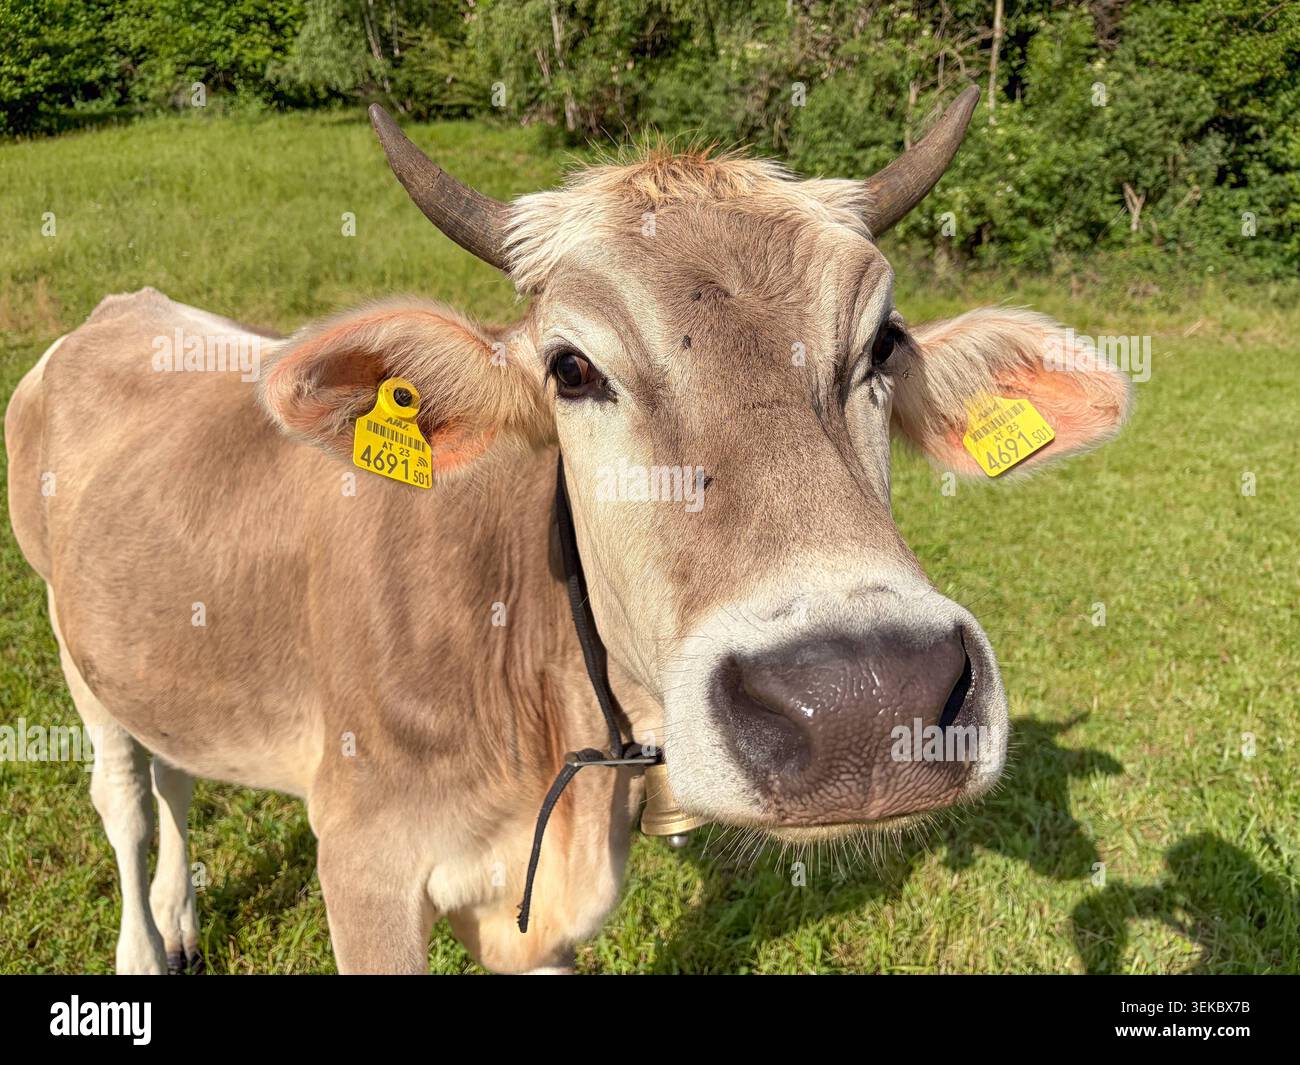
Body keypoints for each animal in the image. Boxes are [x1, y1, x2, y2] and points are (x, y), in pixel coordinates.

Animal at [4, 86, 1131, 974]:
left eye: (885, 343)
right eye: (571, 367)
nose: (864, 697)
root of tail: (121, 308)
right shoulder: (363, 868)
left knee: (178, 771)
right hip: (70, 647)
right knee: (126, 799)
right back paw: (143, 944)